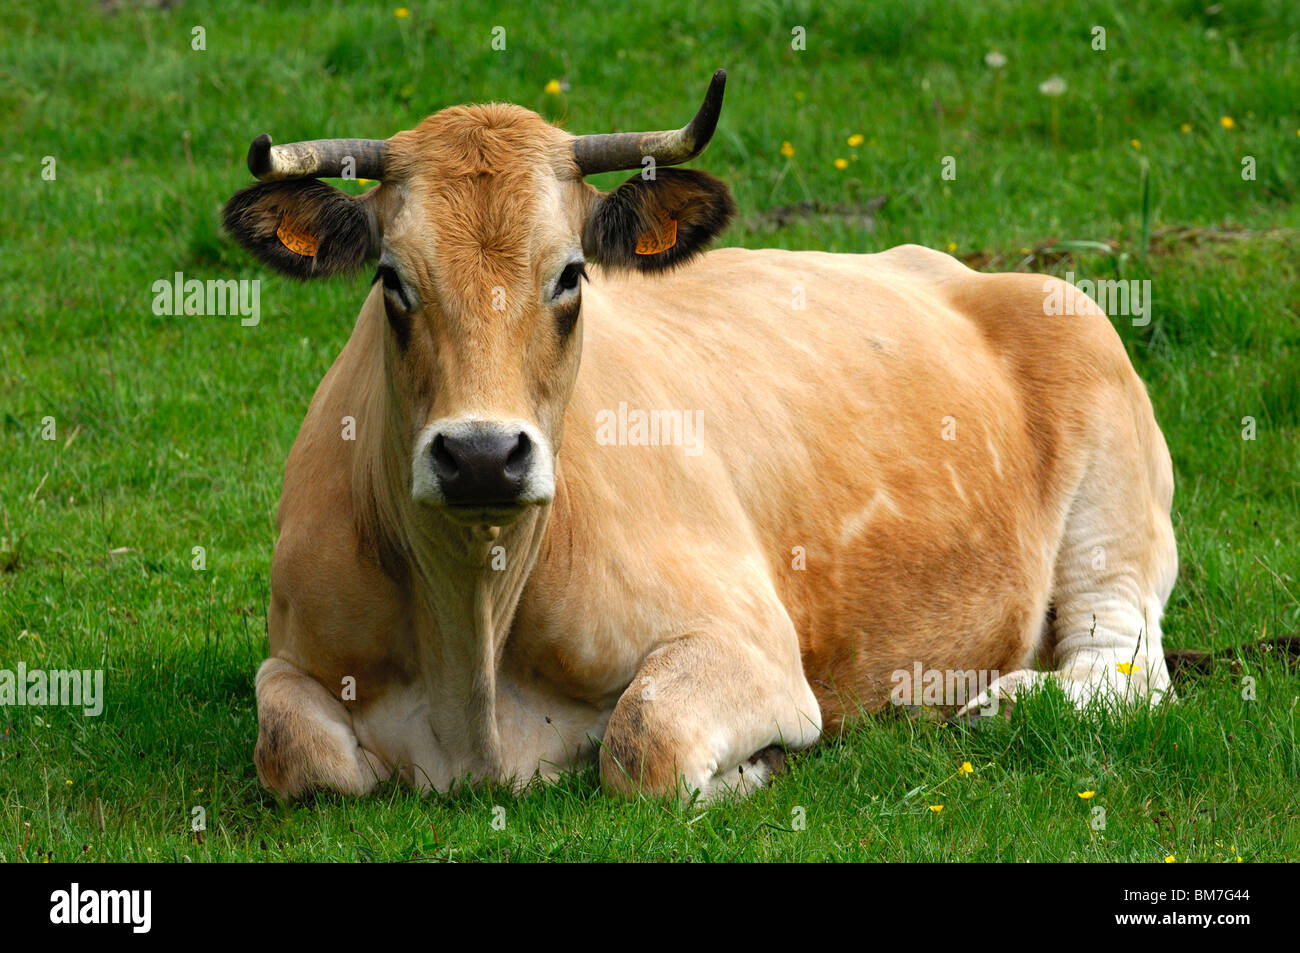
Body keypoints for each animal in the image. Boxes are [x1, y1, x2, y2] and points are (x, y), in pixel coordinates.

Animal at [222, 70, 1177, 803]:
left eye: (571, 275)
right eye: (392, 279)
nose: (483, 456)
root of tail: (951, 268)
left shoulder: (754, 645)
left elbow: (643, 740)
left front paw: (754, 769)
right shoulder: (295, 655)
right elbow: (297, 752)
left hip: (1113, 505)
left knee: (1124, 669)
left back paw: (1006, 703)